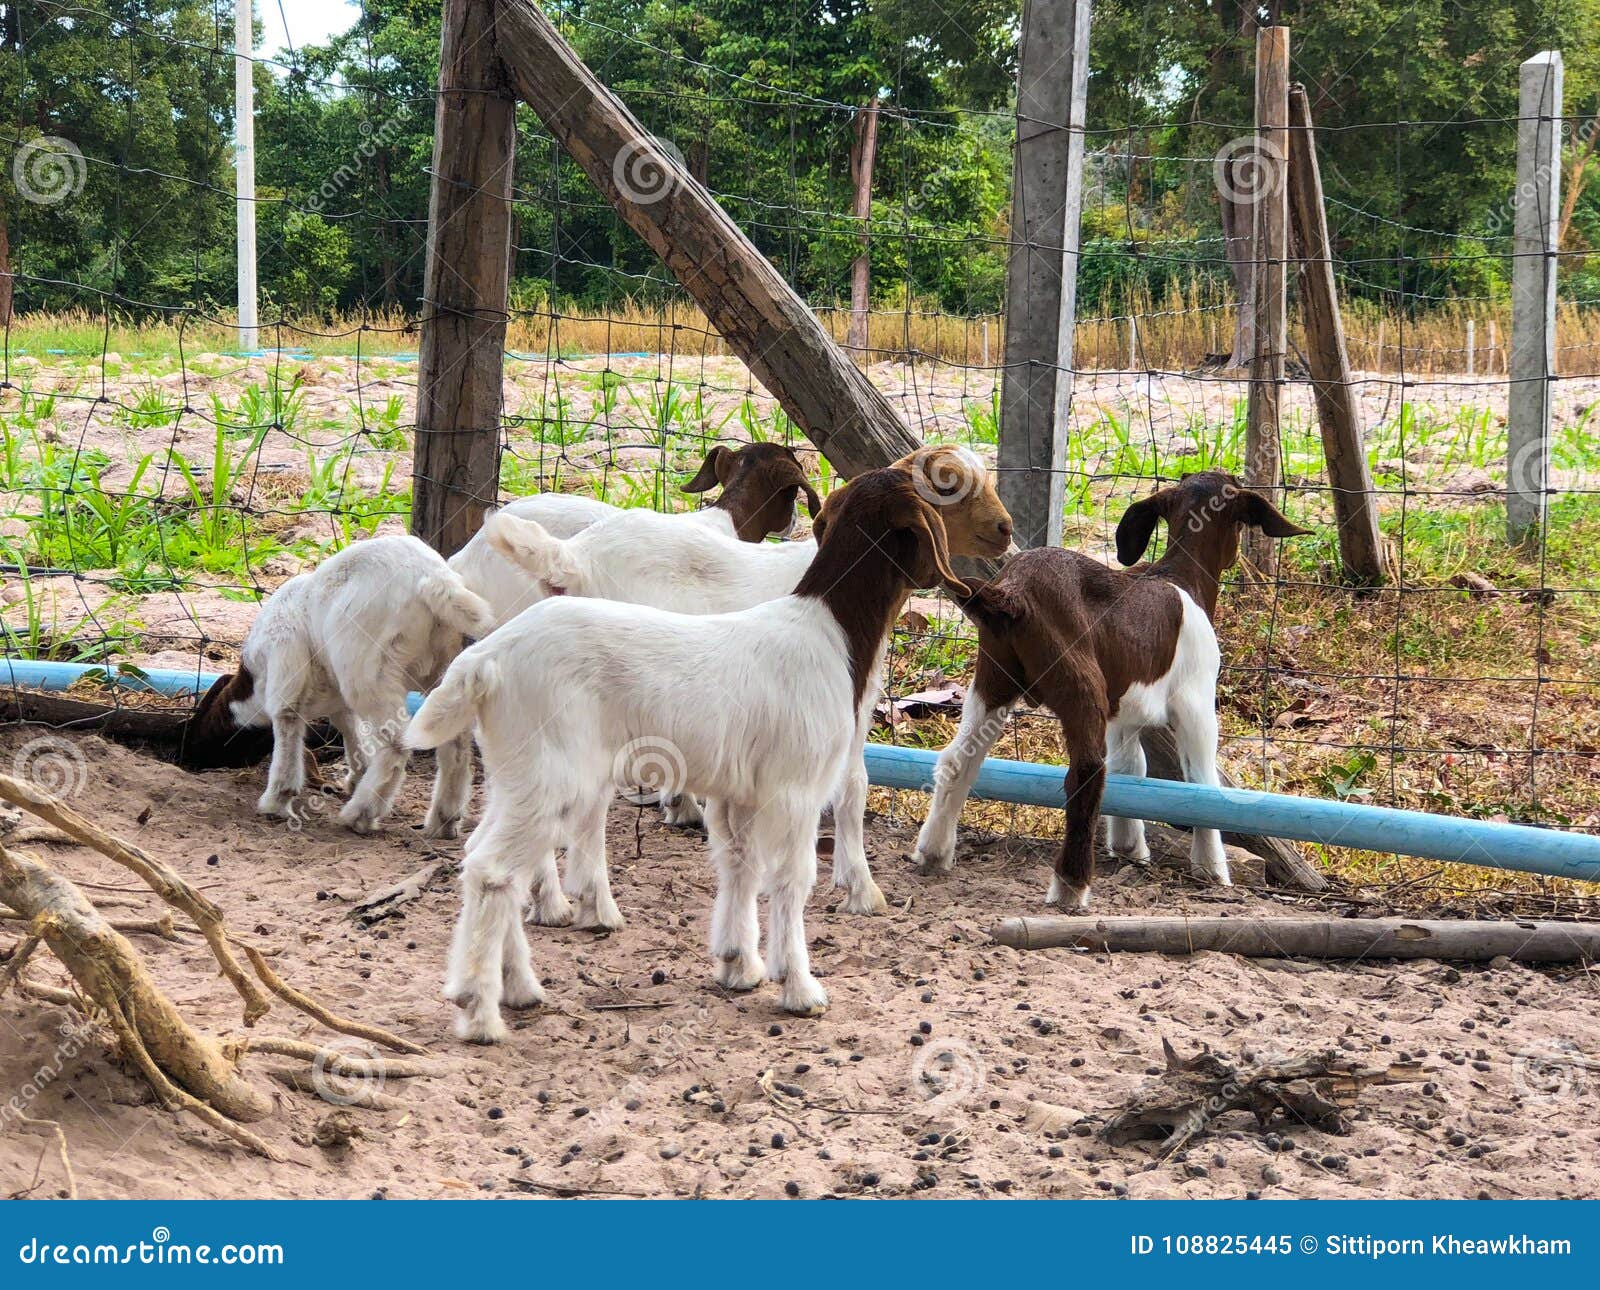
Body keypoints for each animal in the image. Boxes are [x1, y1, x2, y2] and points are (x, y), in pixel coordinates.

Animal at [185, 535, 494, 838]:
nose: (189, 760)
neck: (253, 682)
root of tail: (433, 579)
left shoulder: (285, 670)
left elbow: (287, 727)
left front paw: (276, 801)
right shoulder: (337, 699)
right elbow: (348, 728)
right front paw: (357, 776)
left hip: (367, 672)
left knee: (396, 743)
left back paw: (360, 815)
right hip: (442, 668)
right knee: (454, 743)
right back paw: (443, 821)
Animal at [405, 469, 970, 1042]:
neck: (830, 630)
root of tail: (487, 659)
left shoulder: (740, 795)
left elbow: (739, 865)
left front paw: (738, 963)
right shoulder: (794, 791)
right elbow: (791, 879)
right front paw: (798, 986)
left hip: (517, 772)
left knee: (489, 859)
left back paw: (518, 987)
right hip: (552, 775)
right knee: (493, 869)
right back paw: (480, 1011)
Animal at [912, 472, 1310, 907]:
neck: (1180, 578)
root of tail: (1010, 595)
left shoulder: (1125, 713)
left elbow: (1131, 768)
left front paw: (1128, 846)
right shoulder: (1195, 702)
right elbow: (1202, 782)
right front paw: (1212, 869)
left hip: (991, 680)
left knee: (957, 759)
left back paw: (933, 852)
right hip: (1081, 684)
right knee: (1085, 774)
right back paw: (1071, 887)